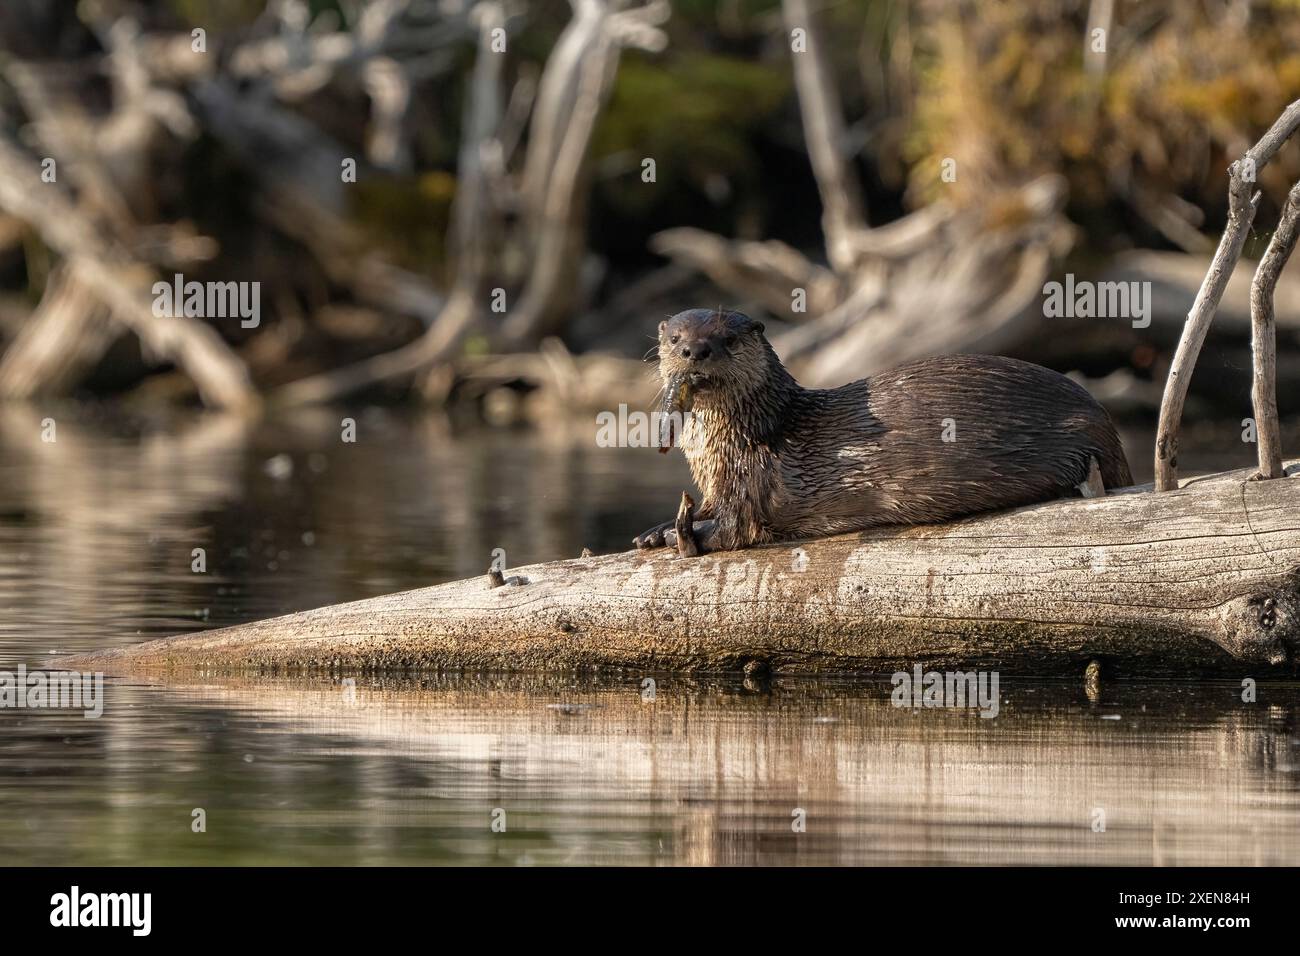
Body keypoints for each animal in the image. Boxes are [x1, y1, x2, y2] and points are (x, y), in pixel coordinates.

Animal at [634, 308, 1132, 553]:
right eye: (675, 339)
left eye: (729, 340)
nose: (695, 350)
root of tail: (1103, 419)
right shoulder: (716, 482)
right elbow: (705, 506)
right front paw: (655, 532)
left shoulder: (750, 482)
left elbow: (735, 531)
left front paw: (686, 537)